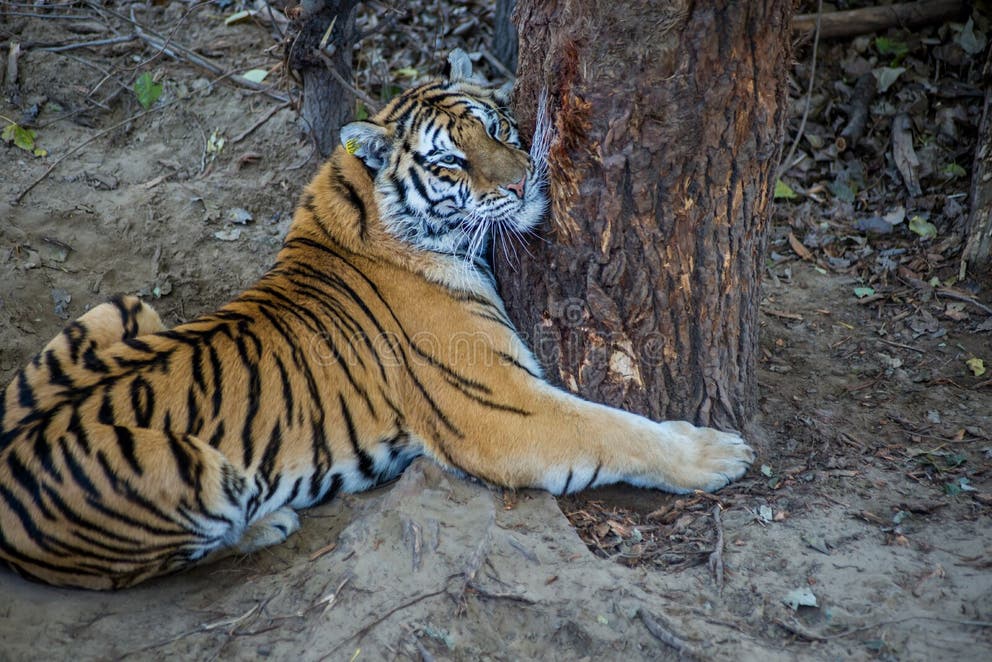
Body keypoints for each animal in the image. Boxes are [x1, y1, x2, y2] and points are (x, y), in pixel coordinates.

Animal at [0, 51, 754, 590]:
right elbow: (613, 428)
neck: (366, 206)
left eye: (499, 128)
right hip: (201, 472)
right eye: (452, 160)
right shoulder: (500, 408)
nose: (524, 181)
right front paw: (717, 454)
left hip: (123, 306)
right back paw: (267, 526)